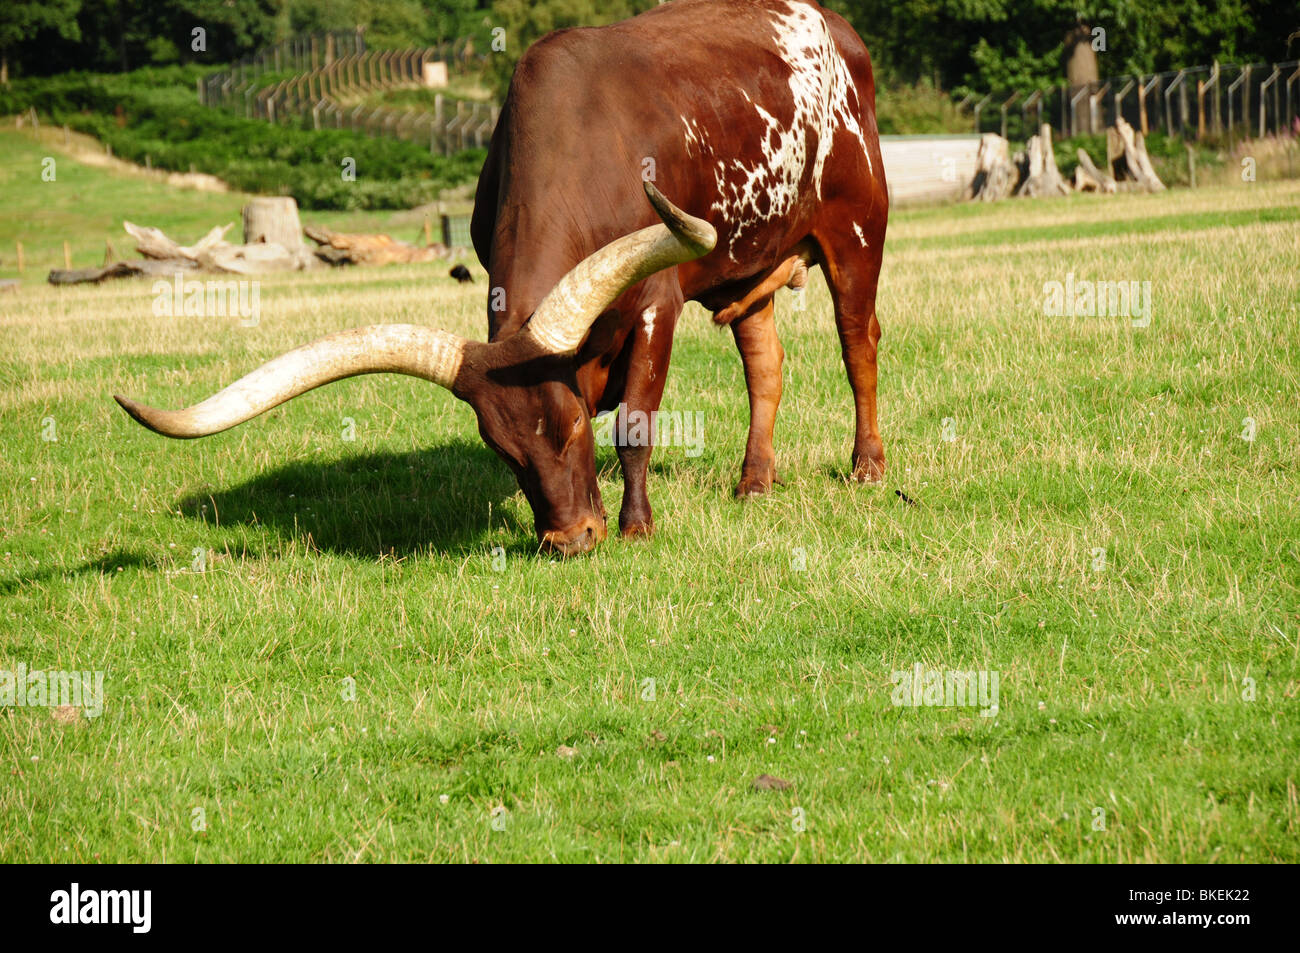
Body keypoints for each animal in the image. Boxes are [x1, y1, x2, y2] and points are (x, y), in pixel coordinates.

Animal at [115, 0, 889, 555]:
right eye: (503, 451)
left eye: (574, 428)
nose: (571, 539)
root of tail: (837, 24)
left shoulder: (655, 299)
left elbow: (635, 424)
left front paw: (637, 525)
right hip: (746, 264)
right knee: (766, 363)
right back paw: (754, 481)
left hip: (857, 231)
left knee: (859, 345)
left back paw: (867, 466)